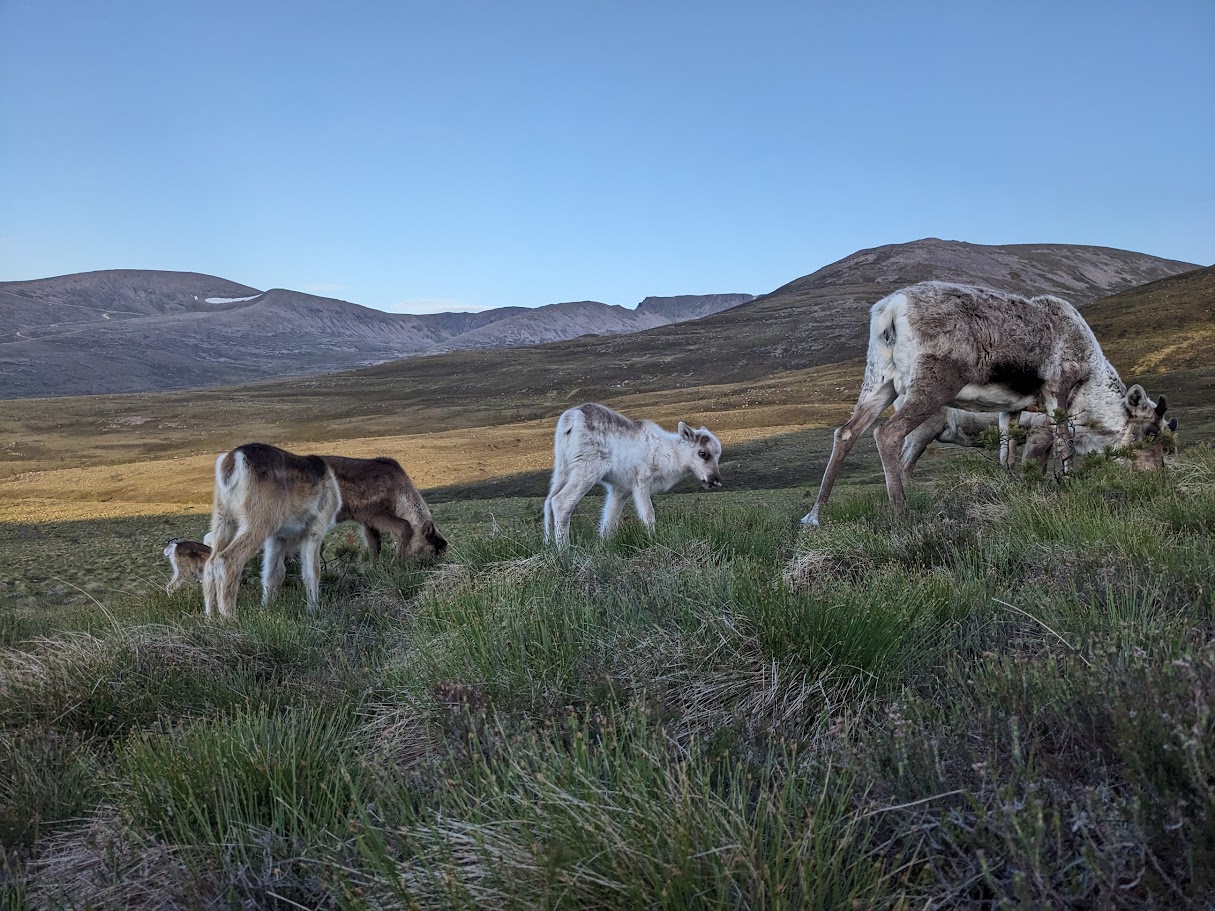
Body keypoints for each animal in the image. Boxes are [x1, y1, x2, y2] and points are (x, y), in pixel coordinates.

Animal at [803, 281, 1171, 527]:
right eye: (1151, 433)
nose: (1158, 478)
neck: (1090, 378)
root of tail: (889, 311)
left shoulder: (1011, 408)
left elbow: (1006, 454)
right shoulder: (1057, 389)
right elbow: (1064, 445)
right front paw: (1066, 486)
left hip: (879, 381)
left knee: (846, 433)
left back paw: (815, 515)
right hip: (933, 384)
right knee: (887, 434)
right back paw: (902, 517)